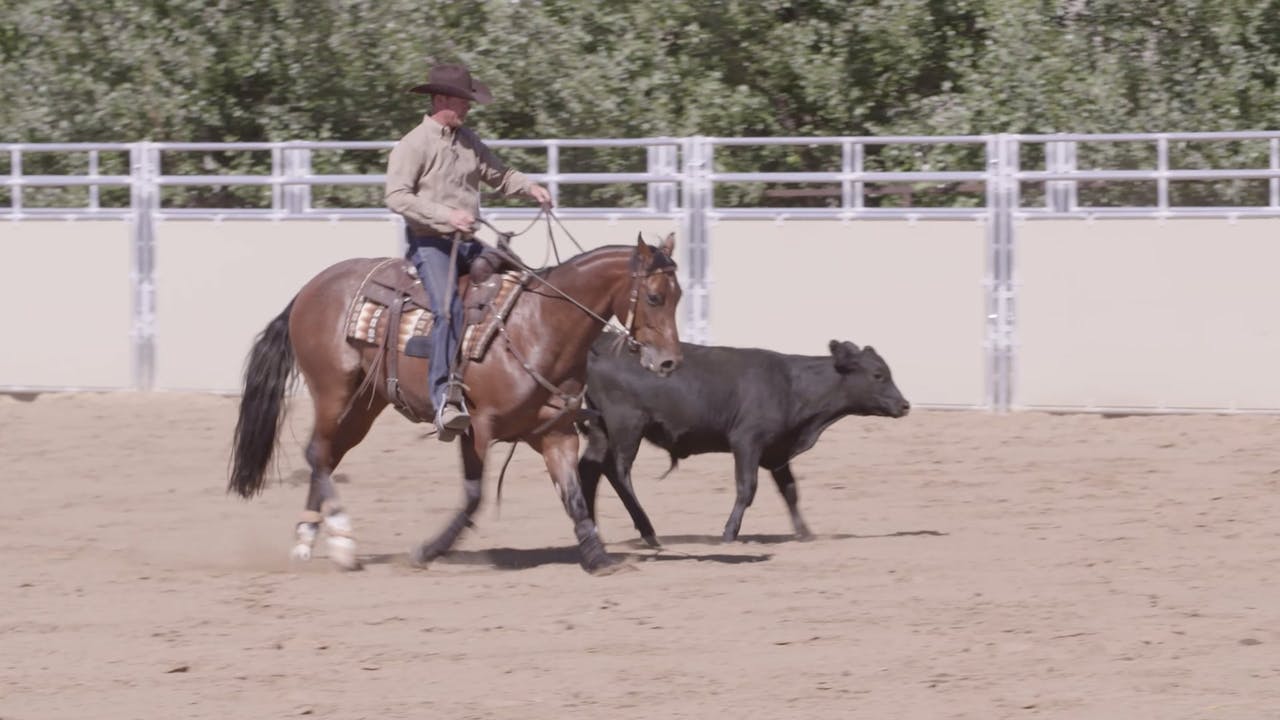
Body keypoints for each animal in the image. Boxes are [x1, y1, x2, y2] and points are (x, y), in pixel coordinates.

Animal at [577, 336, 910, 546]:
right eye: (878, 375)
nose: (904, 405)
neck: (791, 384)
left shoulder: (777, 451)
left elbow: (790, 492)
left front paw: (805, 533)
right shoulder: (747, 442)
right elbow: (746, 489)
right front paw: (729, 533)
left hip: (600, 430)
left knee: (589, 469)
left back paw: (595, 532)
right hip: (627, 426)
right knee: (617, 472)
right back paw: (647, 531)